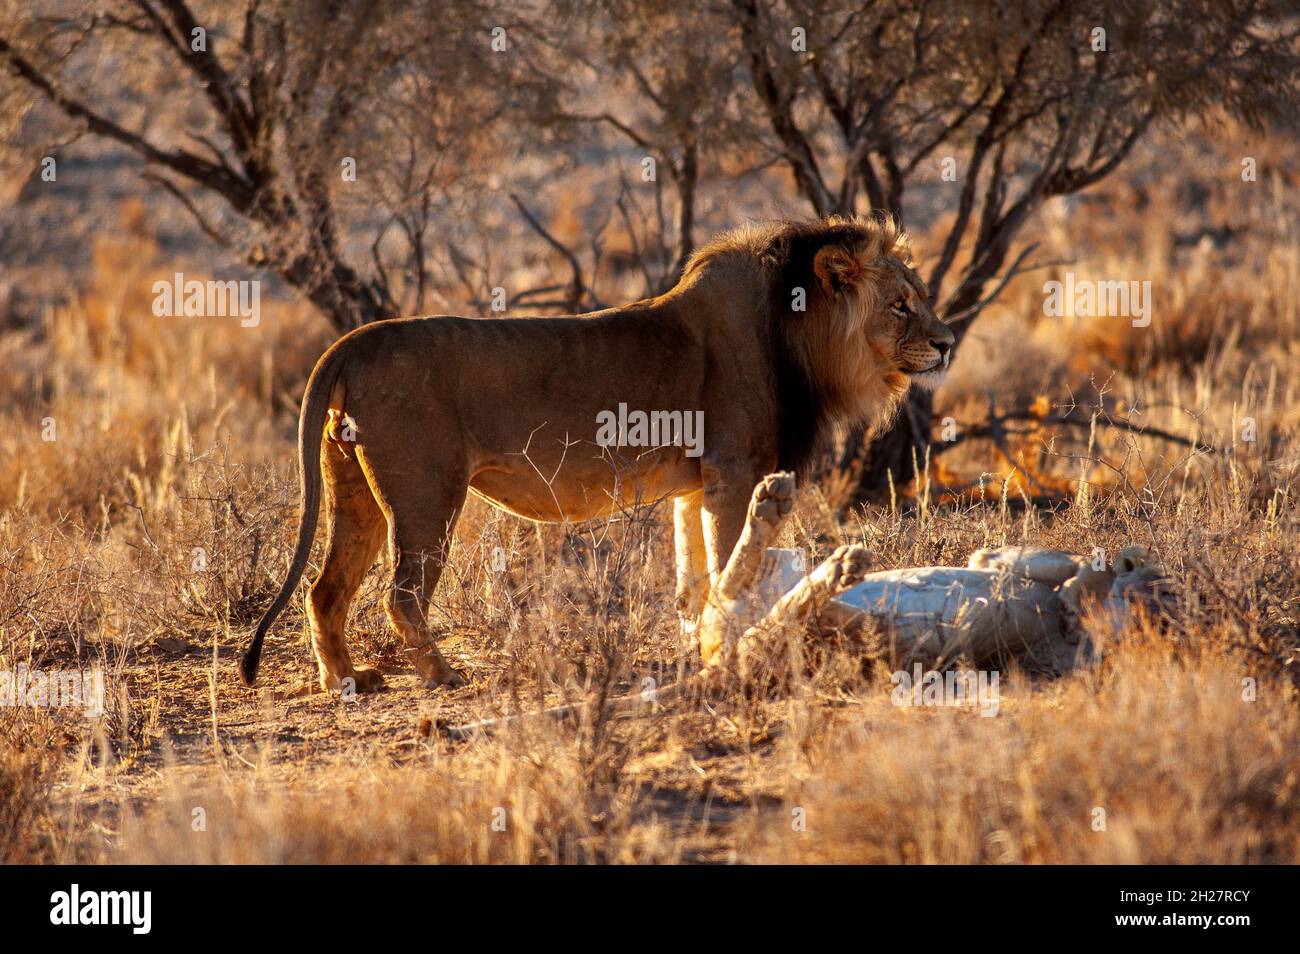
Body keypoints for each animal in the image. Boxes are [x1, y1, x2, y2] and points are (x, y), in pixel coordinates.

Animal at [239, 215, 955, 693]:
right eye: (901, 305)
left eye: (921, 299)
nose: (947, 343)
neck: (797, 335)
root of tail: (353, 340)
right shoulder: (736, 473)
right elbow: (735, 562)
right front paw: (730, 638)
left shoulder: (697, 485)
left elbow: (694, 574)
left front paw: (699, 638)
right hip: (426, 495)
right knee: (402, 598)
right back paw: (444, 674)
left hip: (354, 489)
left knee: (324, 589)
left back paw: (347, 679)